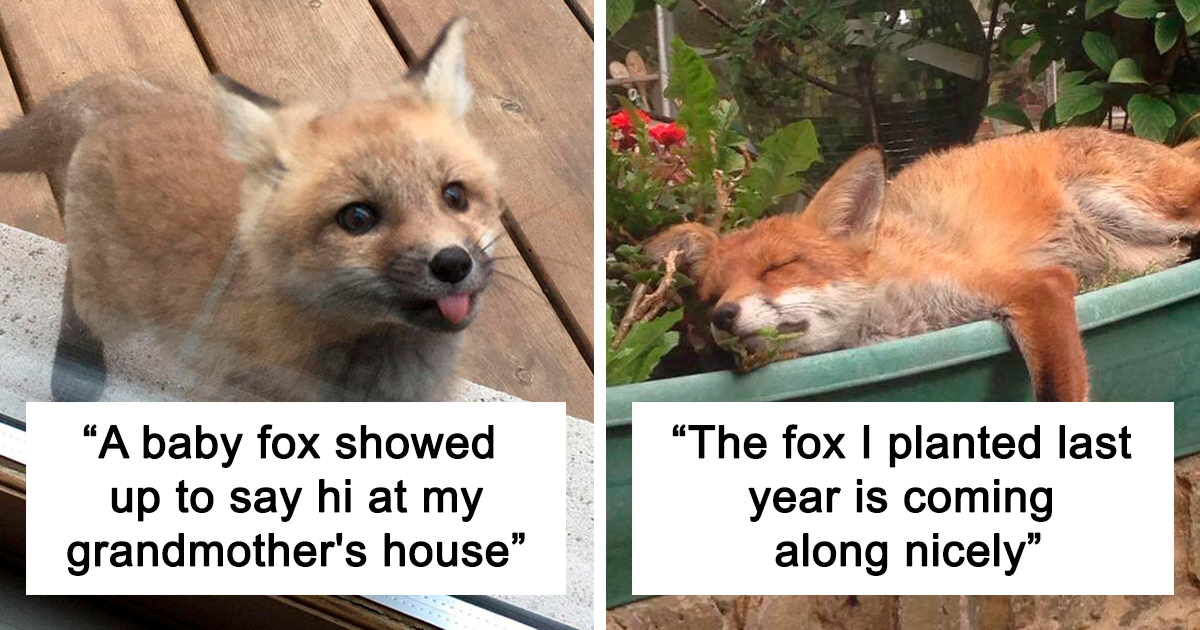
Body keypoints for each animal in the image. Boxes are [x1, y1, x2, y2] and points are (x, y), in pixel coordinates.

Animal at [0, 19, 502, 402]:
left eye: (455, 196)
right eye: (357, 218)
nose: (453, 263)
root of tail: (123, 94)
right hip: (112, 306)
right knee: (77, 295)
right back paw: (76, 365)